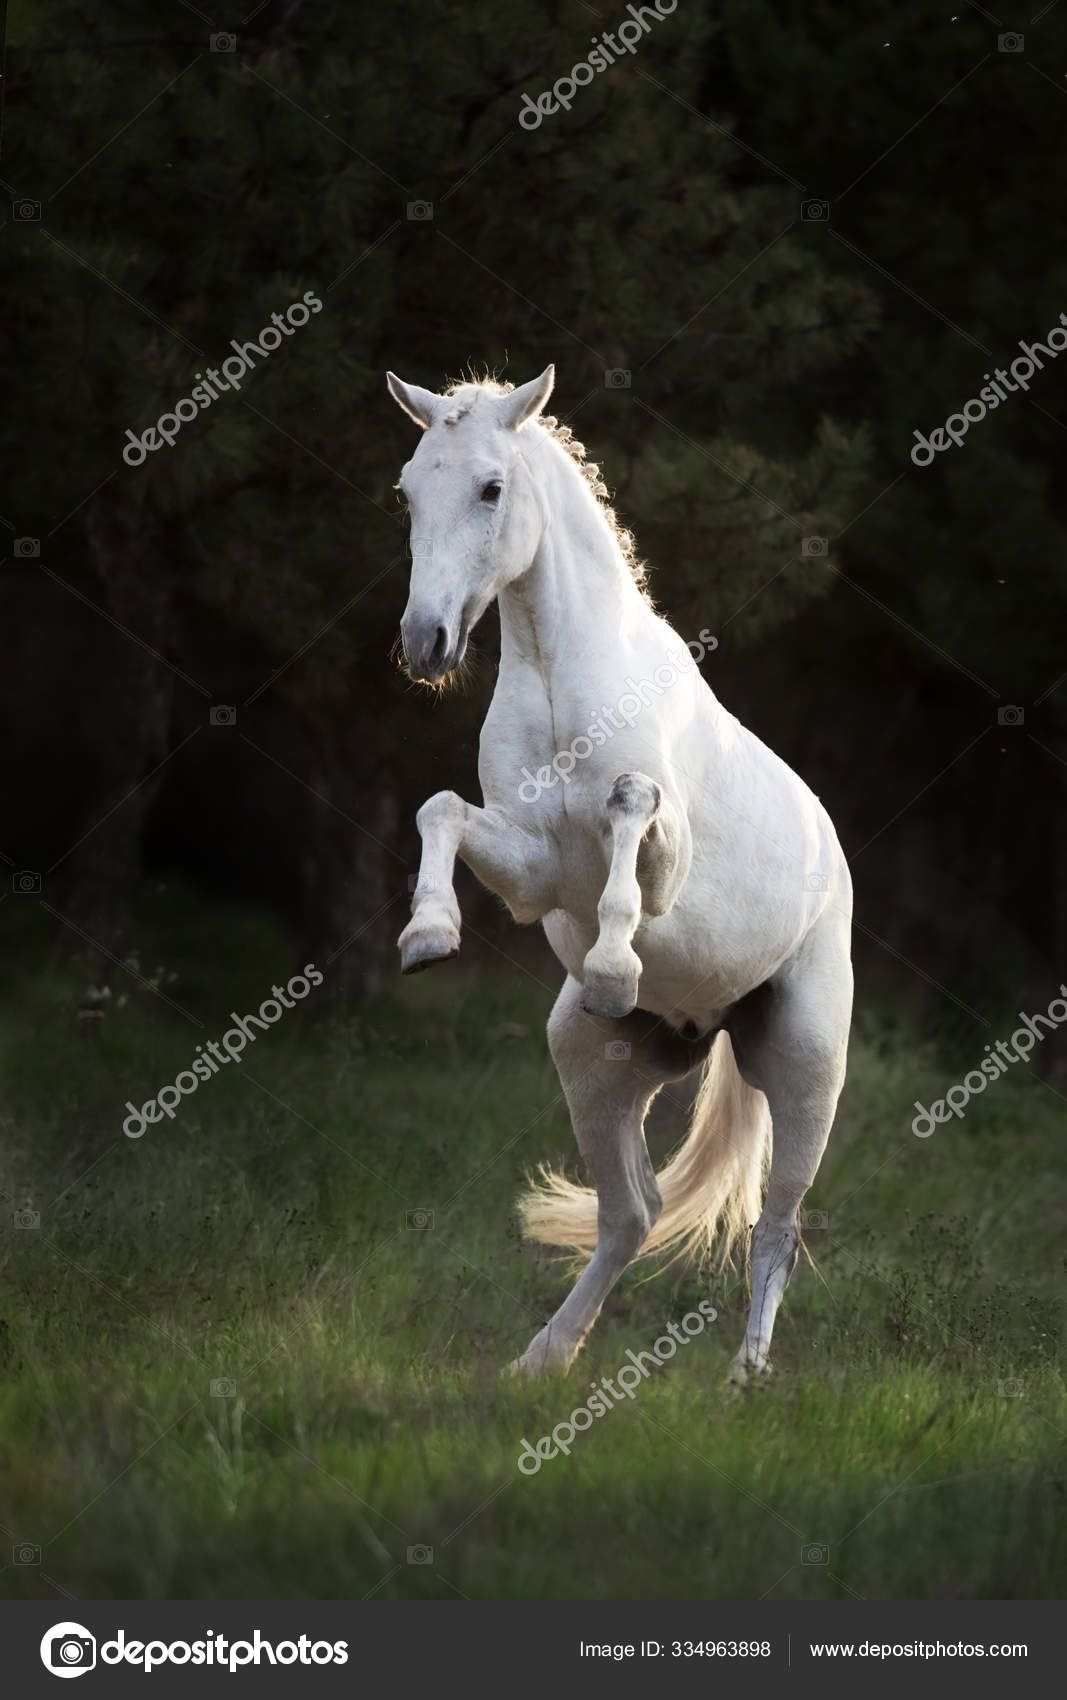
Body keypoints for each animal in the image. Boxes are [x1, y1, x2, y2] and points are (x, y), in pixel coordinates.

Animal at [386, 364, 853, 1384]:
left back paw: (743, 1376)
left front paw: (611, 967)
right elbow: (440, 809)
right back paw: (542, 1359)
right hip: (590, 1061)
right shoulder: (531, 873)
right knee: (631, 1214)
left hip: (806, 1065)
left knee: (775, 1225)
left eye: (491, 488)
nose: (424, 643)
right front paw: (427, 936)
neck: (567, 689)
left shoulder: (656, 861)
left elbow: (632, 815)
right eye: (405, 491)